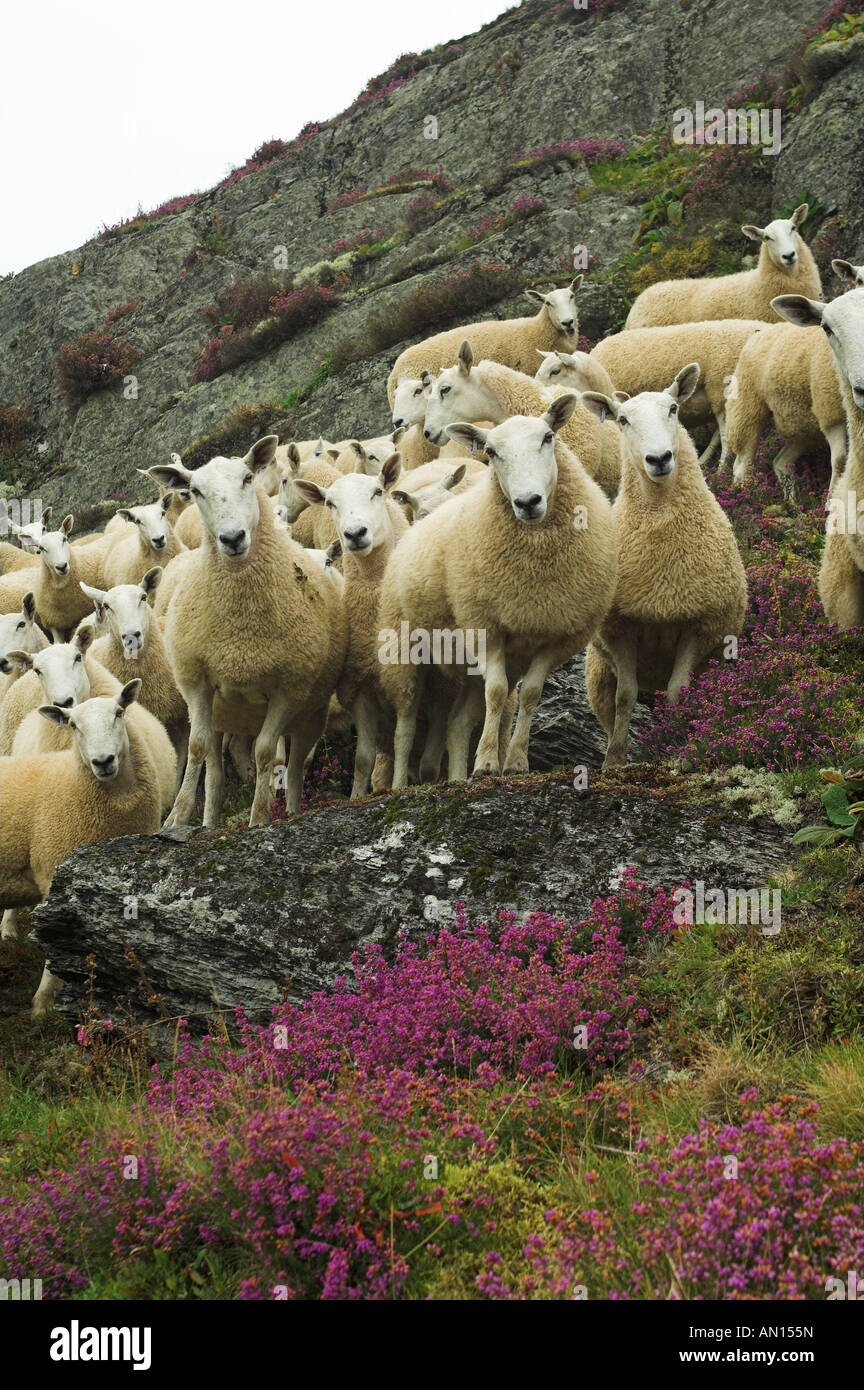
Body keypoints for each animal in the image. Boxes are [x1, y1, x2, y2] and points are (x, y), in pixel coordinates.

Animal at [145, 434, 348, 827]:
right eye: (195, 491)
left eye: (247, 478)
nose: (233, 538)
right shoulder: (196, 680)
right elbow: (196, 747)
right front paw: (175, 820)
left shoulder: (289, 689)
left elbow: (267, 753)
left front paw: (258, 819)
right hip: (225, 714)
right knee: (215, 770)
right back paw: (209, 822)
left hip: (311, 714)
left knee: (296, 767)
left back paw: (291, 811)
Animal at [295, 454, 407, 797]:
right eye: (330, 503)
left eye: (377, 491)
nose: (355, 534)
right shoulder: (361, 688)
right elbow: (362, 758)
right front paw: (358, 796)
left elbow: (405, 742)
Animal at [378, 394, 618, 786]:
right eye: (490, 452)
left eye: (548, 437)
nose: (528, 502)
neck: (538, 564)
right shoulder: (484, 626)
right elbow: (498, 691)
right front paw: (488, 764)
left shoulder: (556, 636)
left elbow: (530, 695)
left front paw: (516, 762)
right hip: (404, 651)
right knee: (405, 726)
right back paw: (399, 784)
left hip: (459, 669)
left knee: (457, 723)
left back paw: (457, 778)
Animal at [580, 364, 747, 768]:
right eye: (622, 420)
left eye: (673, 409)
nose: (659, 458)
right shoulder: (620, 627)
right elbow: (626, 696)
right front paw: (614, 762)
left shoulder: (698, 623)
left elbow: (677, 693)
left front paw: (677, 750)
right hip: (597, 676)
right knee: (609, 708)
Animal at [724, 320, 846, 497]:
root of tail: (759, 334)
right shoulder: (831, 414)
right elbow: (840, 462)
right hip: (748, 408)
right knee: (741, 465)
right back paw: (747, 495)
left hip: (805, 427)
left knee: (780, 461)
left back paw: (792, 501)